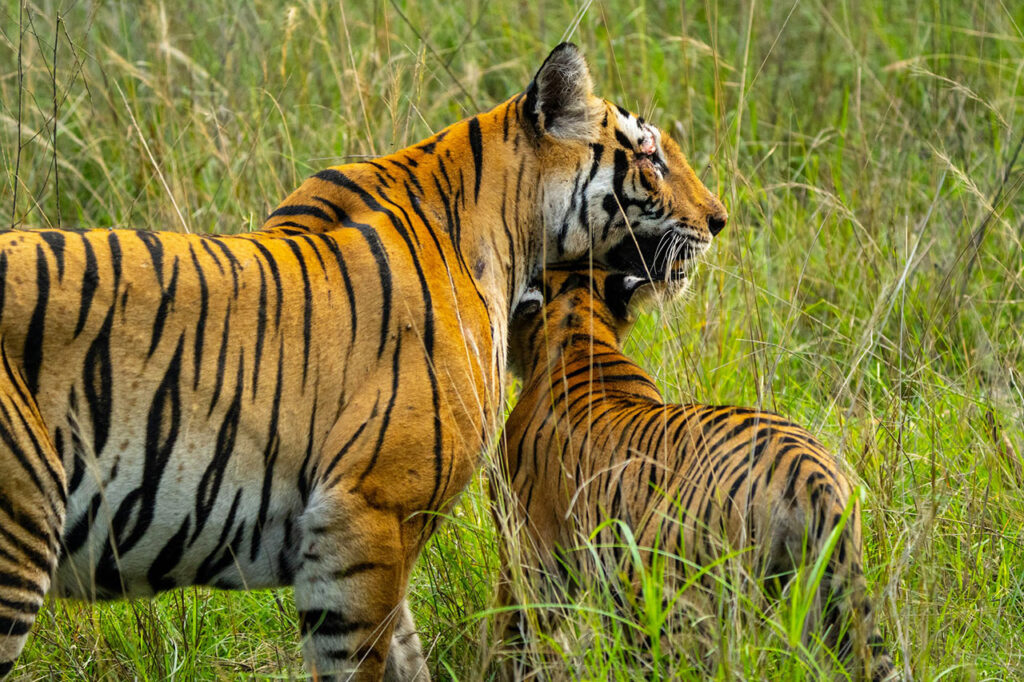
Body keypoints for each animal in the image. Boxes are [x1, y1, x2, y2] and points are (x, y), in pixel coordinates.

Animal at [0, 43, 727, 680]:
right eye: (650, 154)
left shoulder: (366, 533)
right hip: (21, 531)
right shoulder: (369, 513)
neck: (505, 234)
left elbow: (407, 653)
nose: (720, 220)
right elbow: (365, 662)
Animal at [493, 263, 897, 681]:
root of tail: (810, 476)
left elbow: (512, 635)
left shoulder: (530, 554)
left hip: (665, 595)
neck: (578, 332)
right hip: (824, 608)